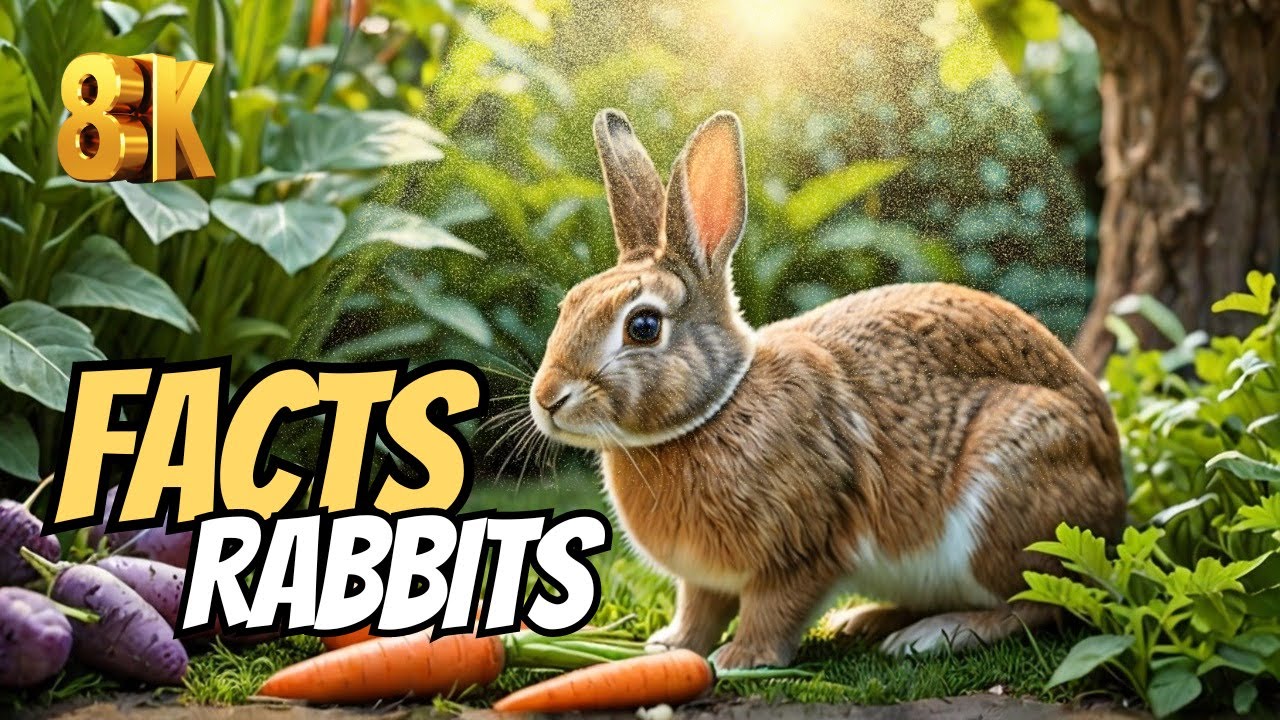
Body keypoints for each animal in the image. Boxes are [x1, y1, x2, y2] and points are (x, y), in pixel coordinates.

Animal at [529, 108, 1126, 669]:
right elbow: (699, 609)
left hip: (1010, 497)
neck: (716, 408)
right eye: (569, 303)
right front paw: (670, 647)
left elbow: (773, 608)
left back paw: (934, 636)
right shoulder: (704, 579)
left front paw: (742, 659)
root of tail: (1115, 504)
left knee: (1041, 602)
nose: (548, 399)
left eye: (644, 326)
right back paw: (863, 621)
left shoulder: (804, 548)